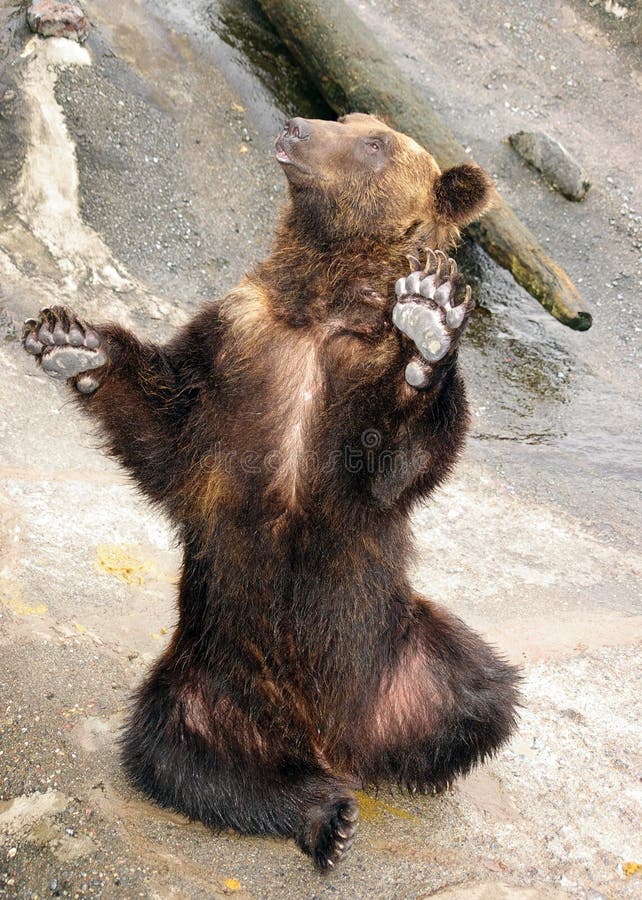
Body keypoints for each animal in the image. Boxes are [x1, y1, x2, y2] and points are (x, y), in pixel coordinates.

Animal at [23, 114, 519, 870]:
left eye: (374, 142)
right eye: (346, 122)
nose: (296, 125)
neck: (318, 304)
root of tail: (326, 740)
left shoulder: (352, 402)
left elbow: (401, 458)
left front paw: (430, 321)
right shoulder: (233, 350)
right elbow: (166, 435)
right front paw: (72, 341)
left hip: (398, 653)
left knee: (482, 693)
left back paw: (390, 775)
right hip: (207, 680)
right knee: (180, 759)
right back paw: (322, 816)